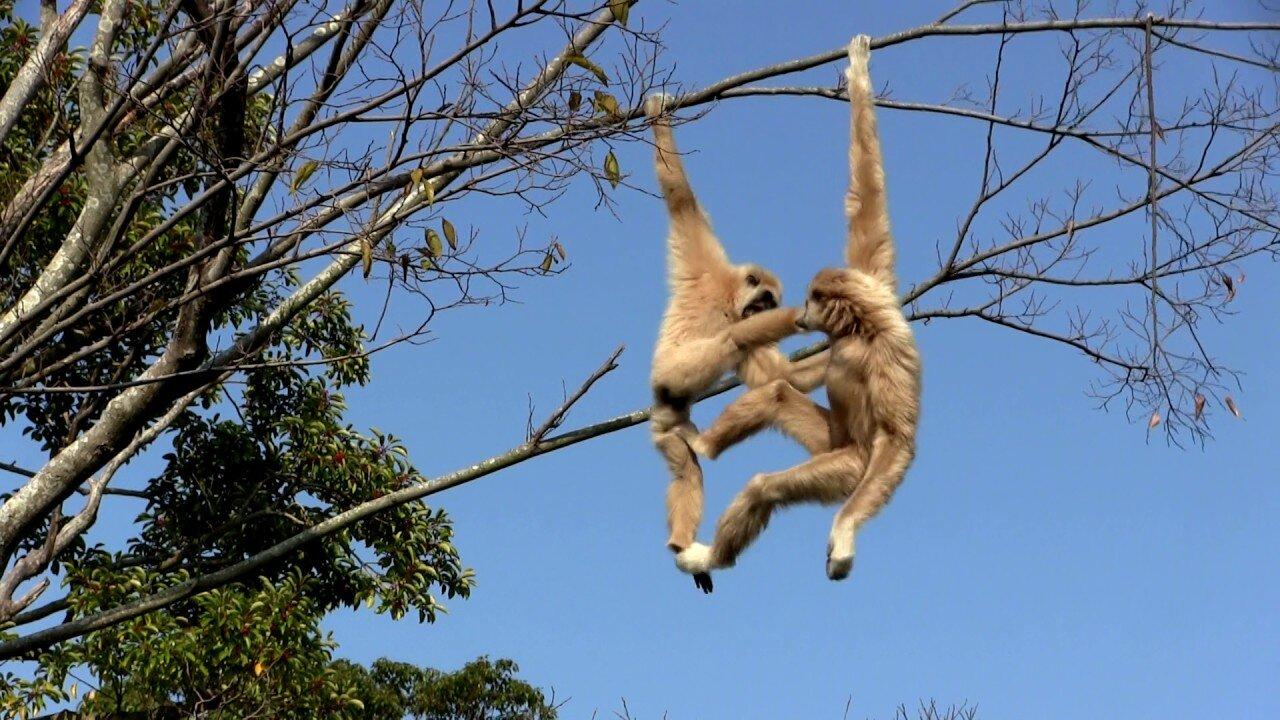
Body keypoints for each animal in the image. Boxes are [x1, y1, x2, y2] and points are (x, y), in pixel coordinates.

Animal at [645, 92, 831, 592]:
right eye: (764, 299)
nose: (768, 311)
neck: (727, 295)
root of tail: (663, 399)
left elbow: (780, 376)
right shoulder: (705, 262)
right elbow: (679, 198)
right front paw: (657, 113)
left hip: (668, 422)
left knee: (685, 467)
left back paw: (681, 544)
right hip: (673, 372)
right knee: (731, 339)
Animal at [675, 35, 922, 582]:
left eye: (811, 299)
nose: (804, 313)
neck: (860, 332)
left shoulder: (891, 353)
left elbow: (898, 441)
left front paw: (844, 538)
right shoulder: (873, 279)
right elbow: (866, 197)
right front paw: (859, 72)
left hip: (849, 469)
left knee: (768, 485)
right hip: (828, 440)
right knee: (776, 395)